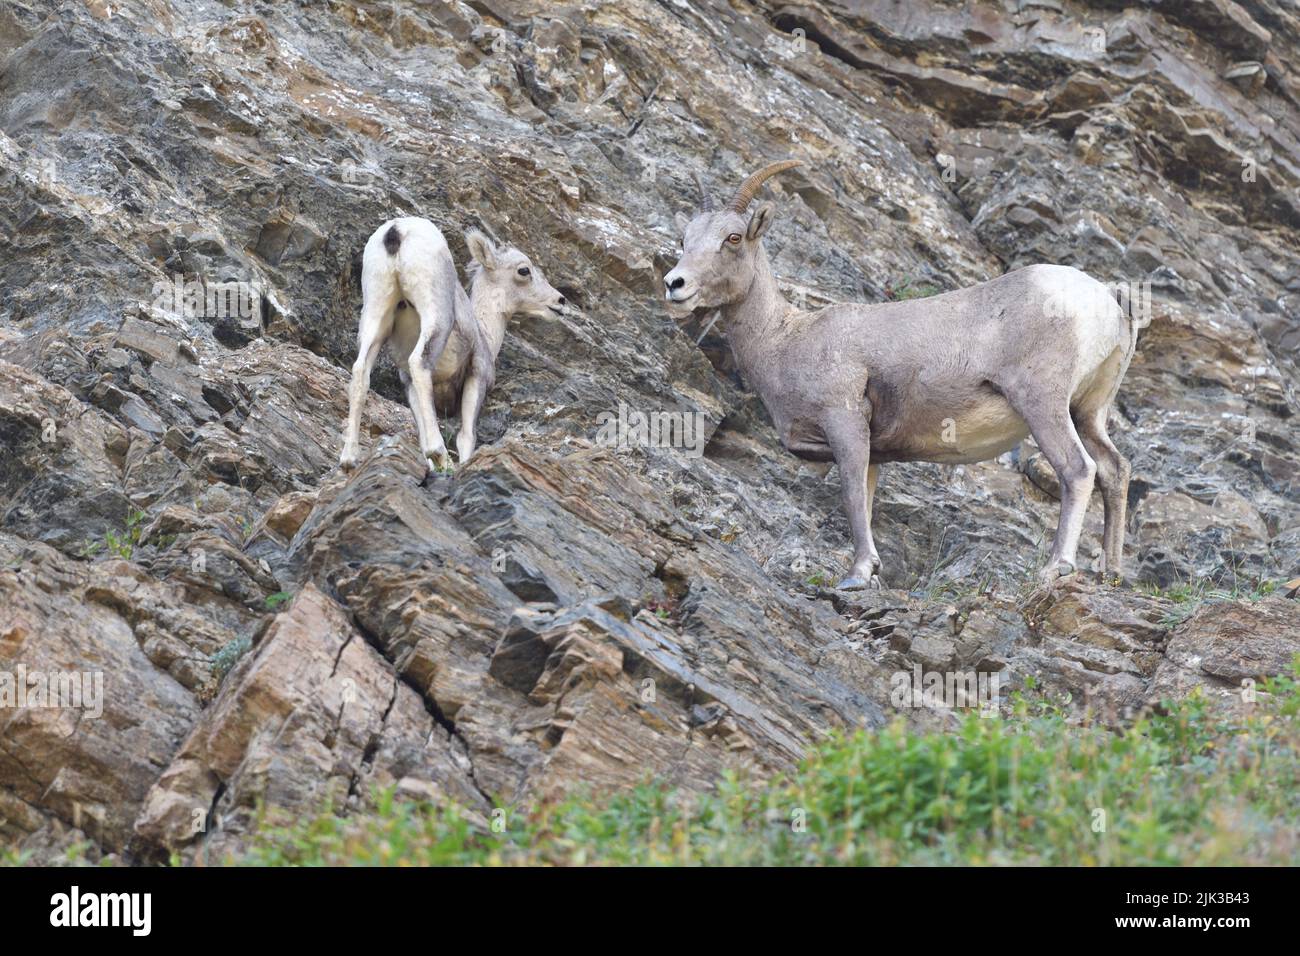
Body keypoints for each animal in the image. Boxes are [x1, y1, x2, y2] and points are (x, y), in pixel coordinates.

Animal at [340, 217, 567, 471]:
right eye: (524, 270)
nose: (560, 301)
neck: (484, 333)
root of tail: (397, 230)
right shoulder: (476, 377)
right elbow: (466, 436)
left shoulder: (408, 385)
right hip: (436, 317)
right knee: (419, 362)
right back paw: (438, 452)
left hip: (376, 314)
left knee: (360, 372)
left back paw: (348, 460)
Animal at [664, 162, 1137, 588]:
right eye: (685, 239)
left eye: (733, 238)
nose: (675, 283)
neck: (785, 338)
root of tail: (1105, 298)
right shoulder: (874, 452)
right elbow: (867, 500)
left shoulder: (846, 425)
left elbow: (853, 497)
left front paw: (857, 576)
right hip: (1087, 412)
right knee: (1114, 469)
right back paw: (1110, 573)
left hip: (1043, 404)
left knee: (1079, 469)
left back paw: (1056, 568)